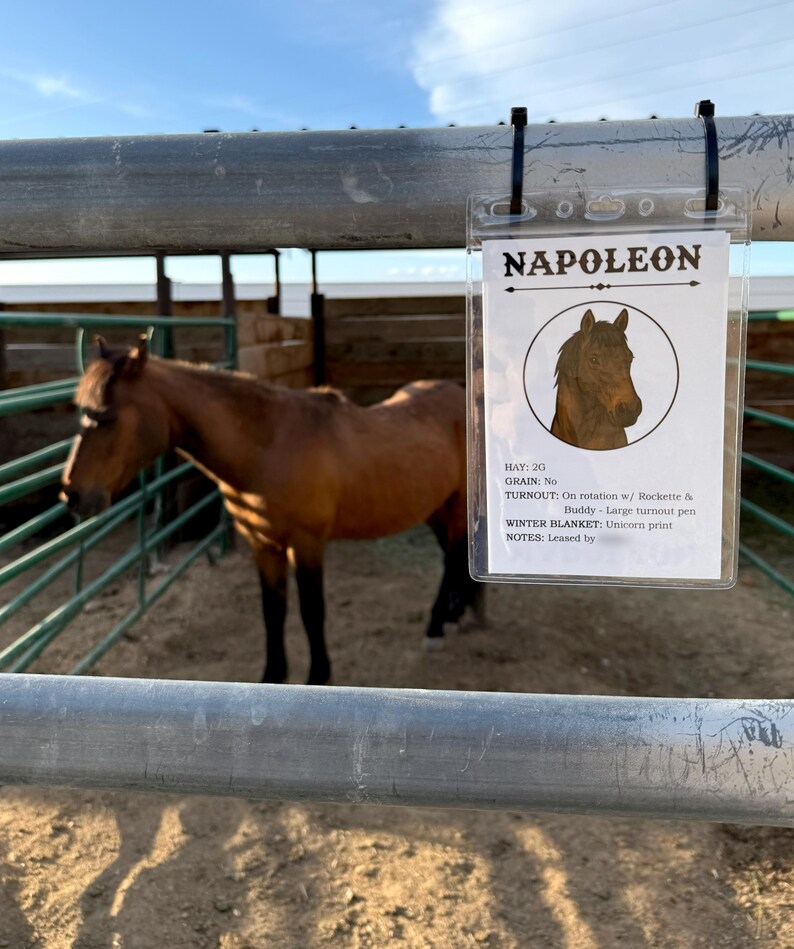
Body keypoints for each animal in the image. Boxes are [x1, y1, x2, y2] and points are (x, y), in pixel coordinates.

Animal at [60, 336, 483, 685]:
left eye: (107, 416)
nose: (72, 494)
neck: (267, 445)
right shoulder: (262, 543)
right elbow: (272, 610)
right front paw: (273, 677)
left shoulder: (307, 543)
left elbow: (312, 611)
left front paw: (319, 676)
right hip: (433, 506)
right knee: (453, 556)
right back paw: (456, 613)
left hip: (457, 504)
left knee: (453, 557)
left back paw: (436, 626)